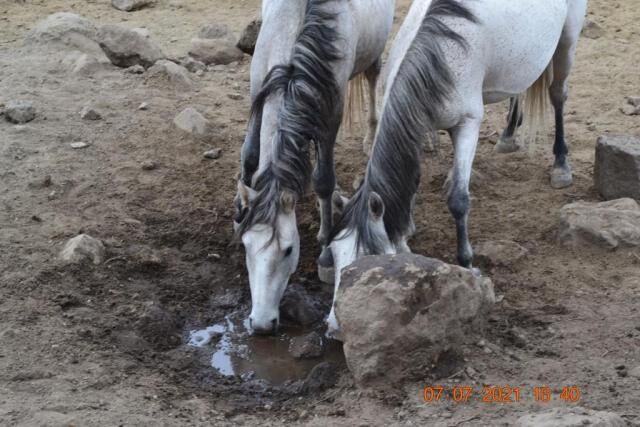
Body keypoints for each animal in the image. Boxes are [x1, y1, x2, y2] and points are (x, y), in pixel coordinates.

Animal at [233, 0, 396, 334]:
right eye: (246, 247)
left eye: (288, 250)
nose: (261, 324)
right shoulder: (258, 90)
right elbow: (250, 157)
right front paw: (239, 208)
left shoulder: (329, 115)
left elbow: (323, 180)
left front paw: (324, 255)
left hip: (373, 54)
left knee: (373, 76)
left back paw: (371, 136)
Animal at [326, 0, 588, 337]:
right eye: (334, 254)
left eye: (368, 260)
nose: (334, 328)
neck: (440, 53)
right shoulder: (421, 126)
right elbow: (414, 180)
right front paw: (408, 230)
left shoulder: (468, 125)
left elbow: (459, 200)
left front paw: (466, 262)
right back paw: (507, 135)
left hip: (568, 39)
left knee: (558, 94)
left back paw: (560, 164)